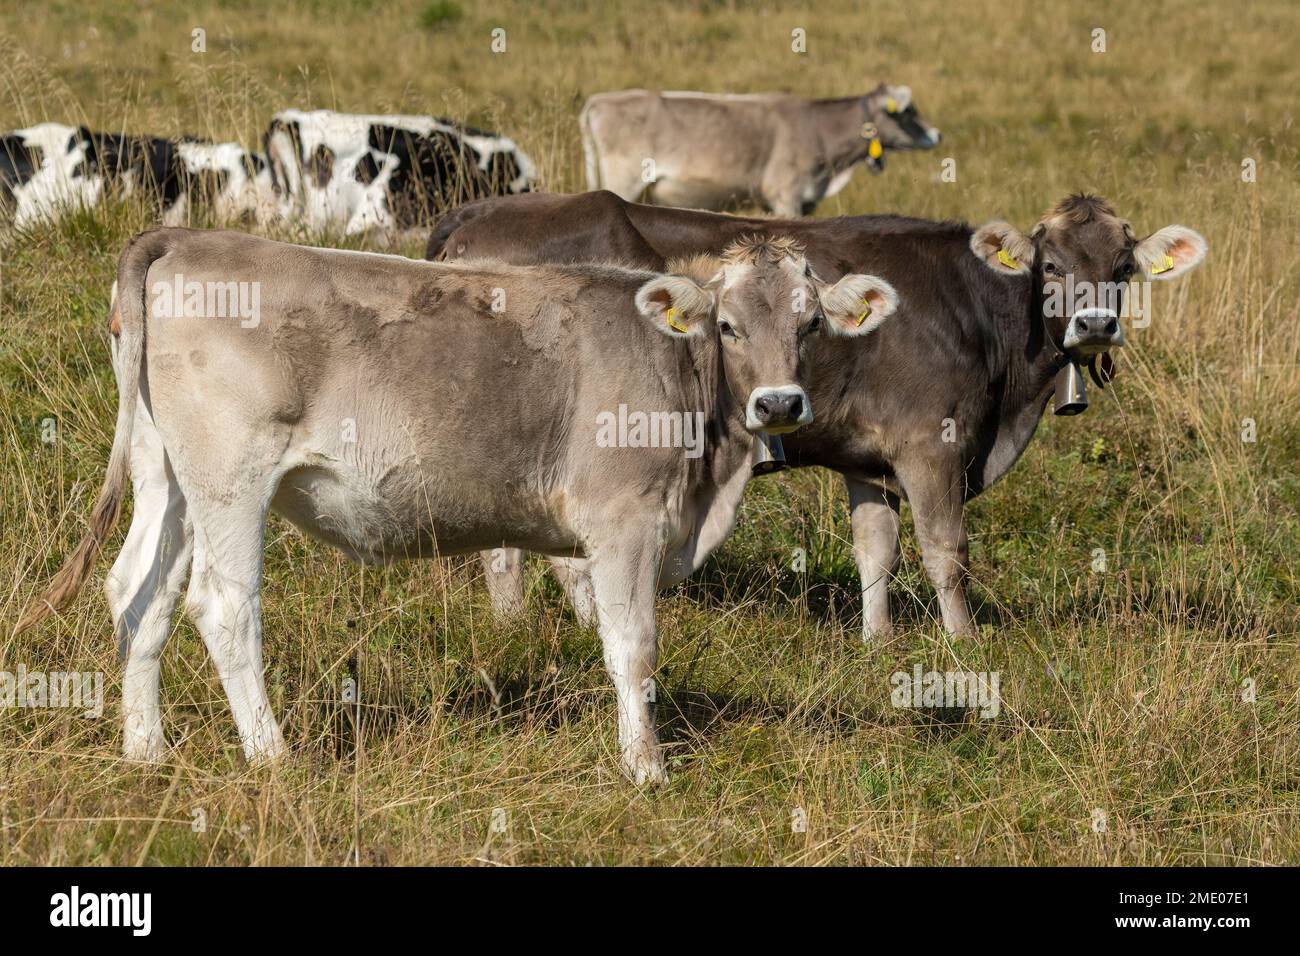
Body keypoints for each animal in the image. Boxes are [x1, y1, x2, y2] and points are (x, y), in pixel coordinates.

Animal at [15, 228, 898, 784]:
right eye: (727, 325)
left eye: (810, 325)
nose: (780, 404)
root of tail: (184, 238)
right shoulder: (624, 520)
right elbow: (633, 647)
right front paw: (646, 767)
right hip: (231, 479)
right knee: (221, 605)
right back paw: (272, 756)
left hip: (165, 472)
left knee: (140, 591)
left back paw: (147, 751)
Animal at [428, 190, 1208, 639]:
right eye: (1049, 265)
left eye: (1123, 268)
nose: (1097, 325)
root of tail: (487, 208)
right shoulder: (931, 446)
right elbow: (946, 552)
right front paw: (963, 646)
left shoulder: (870, 458)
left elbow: (876, 549)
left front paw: (877, 642)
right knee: (509, 550)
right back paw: (520, 627)